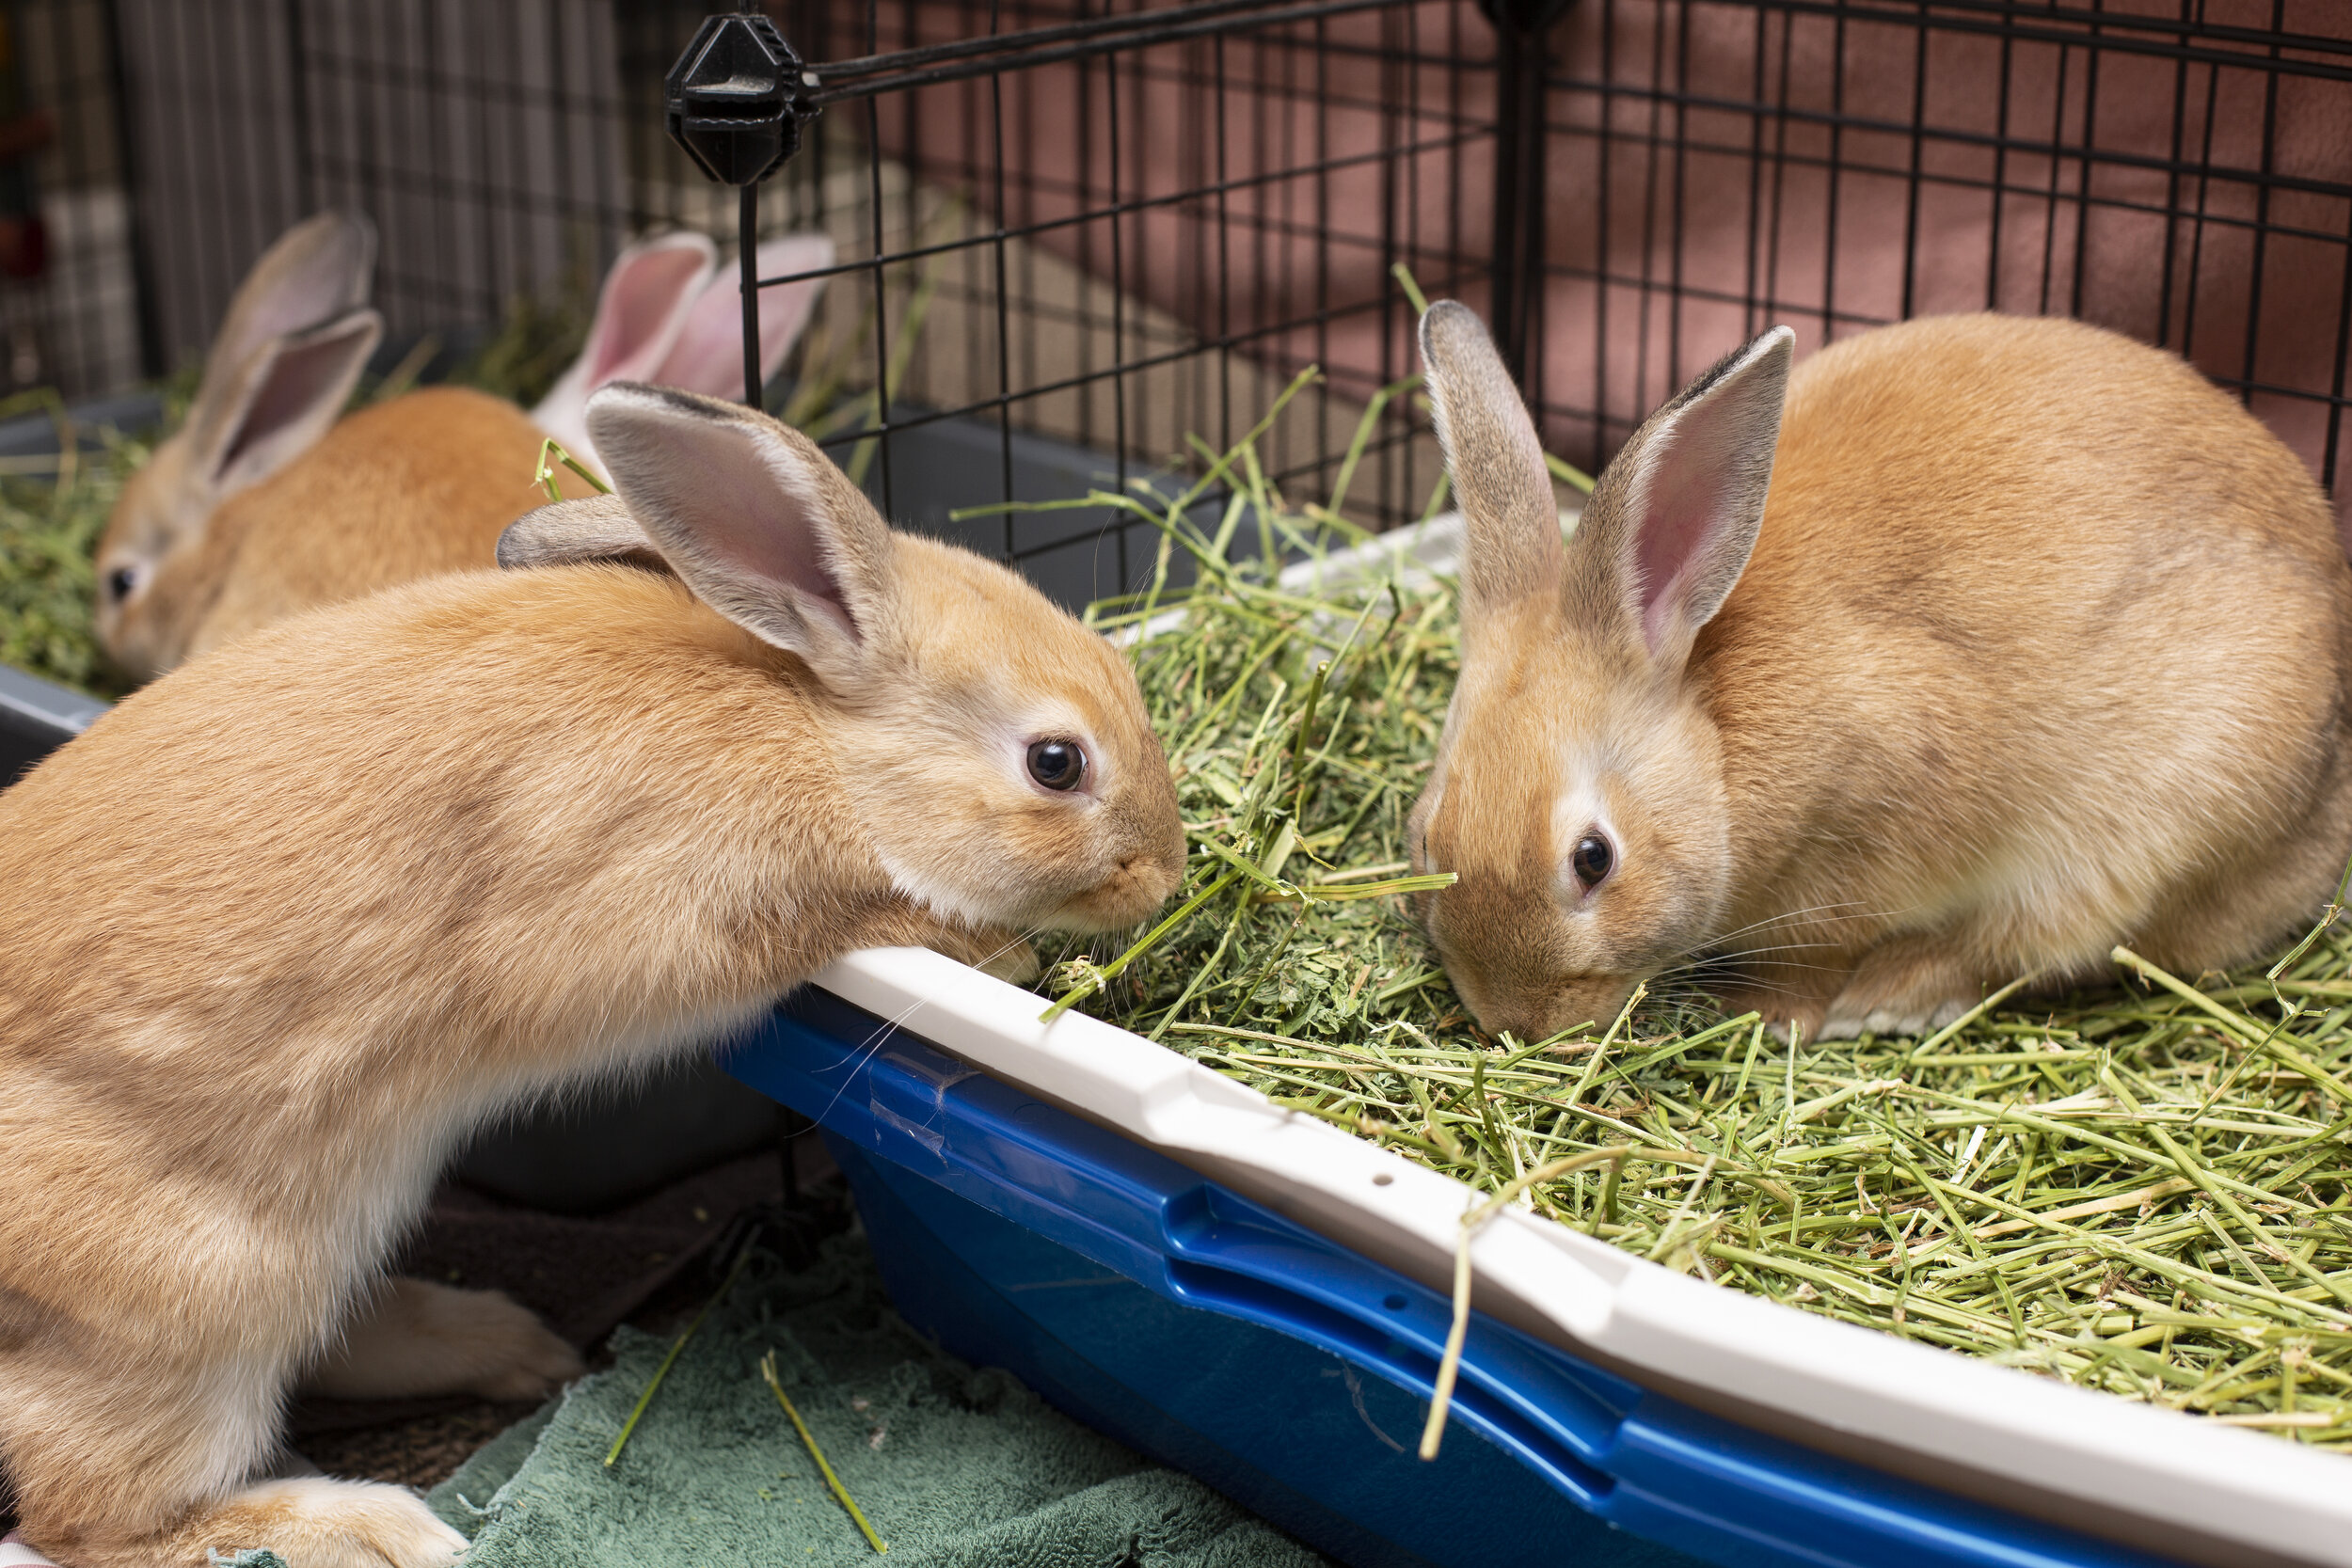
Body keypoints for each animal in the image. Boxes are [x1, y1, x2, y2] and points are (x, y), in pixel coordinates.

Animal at [0, 380, 1189, 1568]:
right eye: (1055, 762)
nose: (1166, 875)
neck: (815, 729)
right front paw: (1002, 949)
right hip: (194, 1303)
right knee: (95, 1519)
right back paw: (384, 1526)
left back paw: (517, 1348)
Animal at [1405, 303, 2352, 1044]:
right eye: (1424, 833)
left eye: (1593, 860)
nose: (1517, 1021)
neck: (1716, 736)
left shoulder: (1865, 837)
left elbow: (1823, 952)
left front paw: (1771, 1013)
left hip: (2155, 827)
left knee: (2033, 946)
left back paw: (1887, 999)